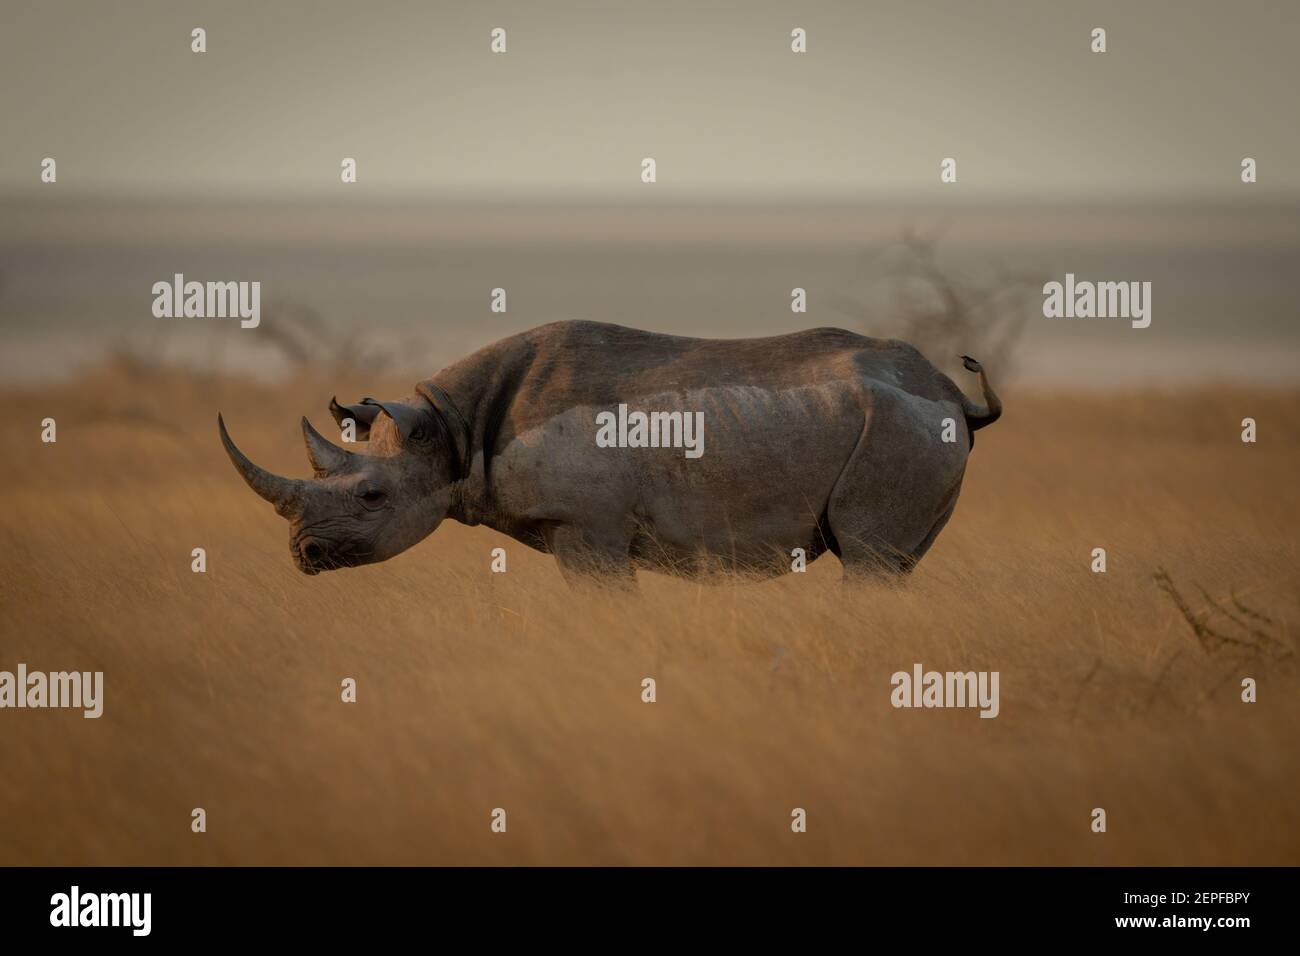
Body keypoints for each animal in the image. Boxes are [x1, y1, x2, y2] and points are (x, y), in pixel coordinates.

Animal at [219, 320, 1001, 584]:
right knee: (892, 565)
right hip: (912, 426)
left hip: (899, 428)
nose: (303, 556)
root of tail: (952, 395)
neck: (451, 429)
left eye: (372, 496)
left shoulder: (588, 528)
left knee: (869, 557)